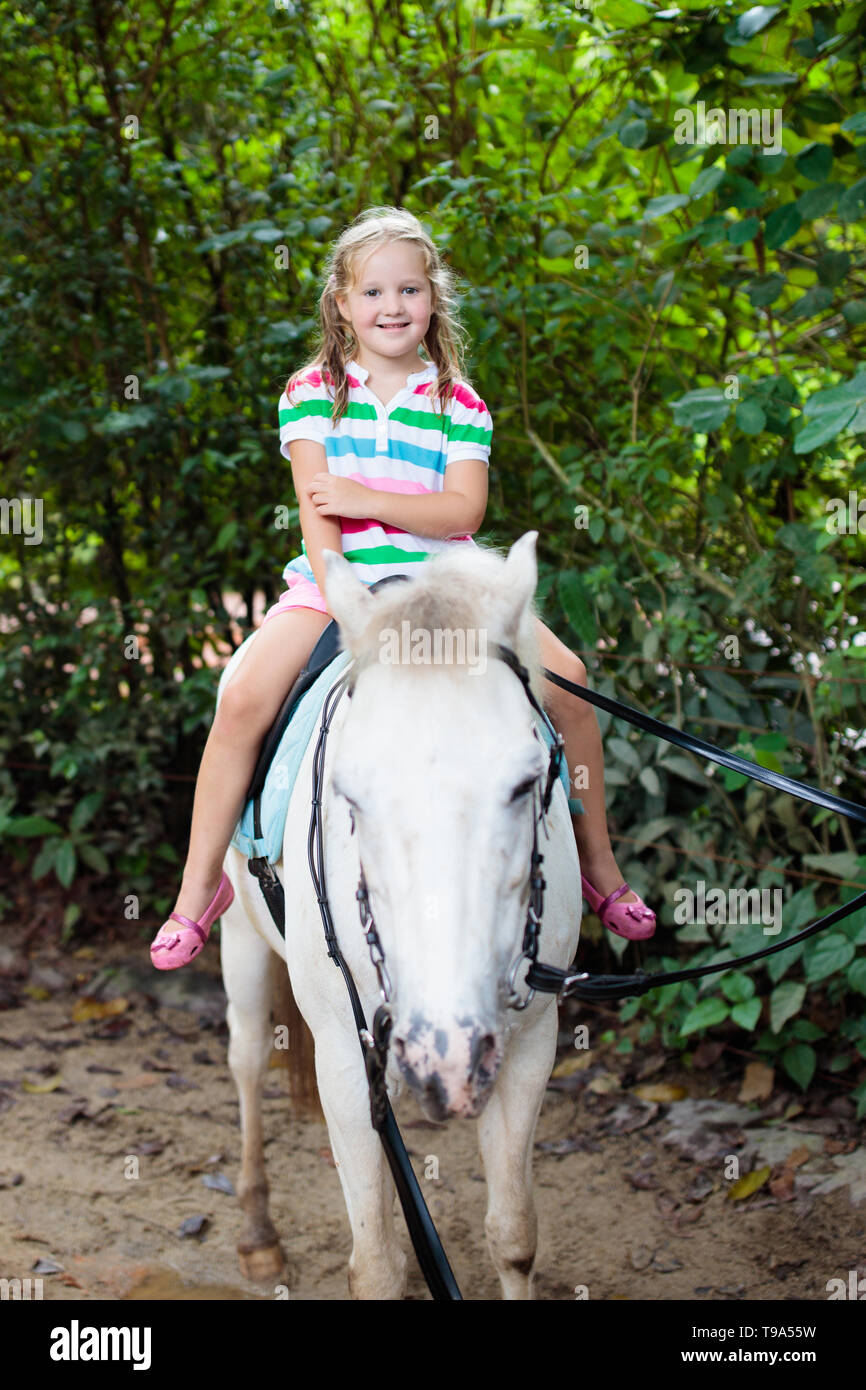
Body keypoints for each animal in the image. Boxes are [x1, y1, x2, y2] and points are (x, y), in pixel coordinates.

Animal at [217, 530, 581, 1299]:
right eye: (350, 795)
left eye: (527, 782)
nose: (448, 1045)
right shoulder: (343, 1053)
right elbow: (375, 1264)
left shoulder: (530, 1043)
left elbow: (514, 1236)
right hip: (240, 938)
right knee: (247, 1059)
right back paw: (259, 1236)